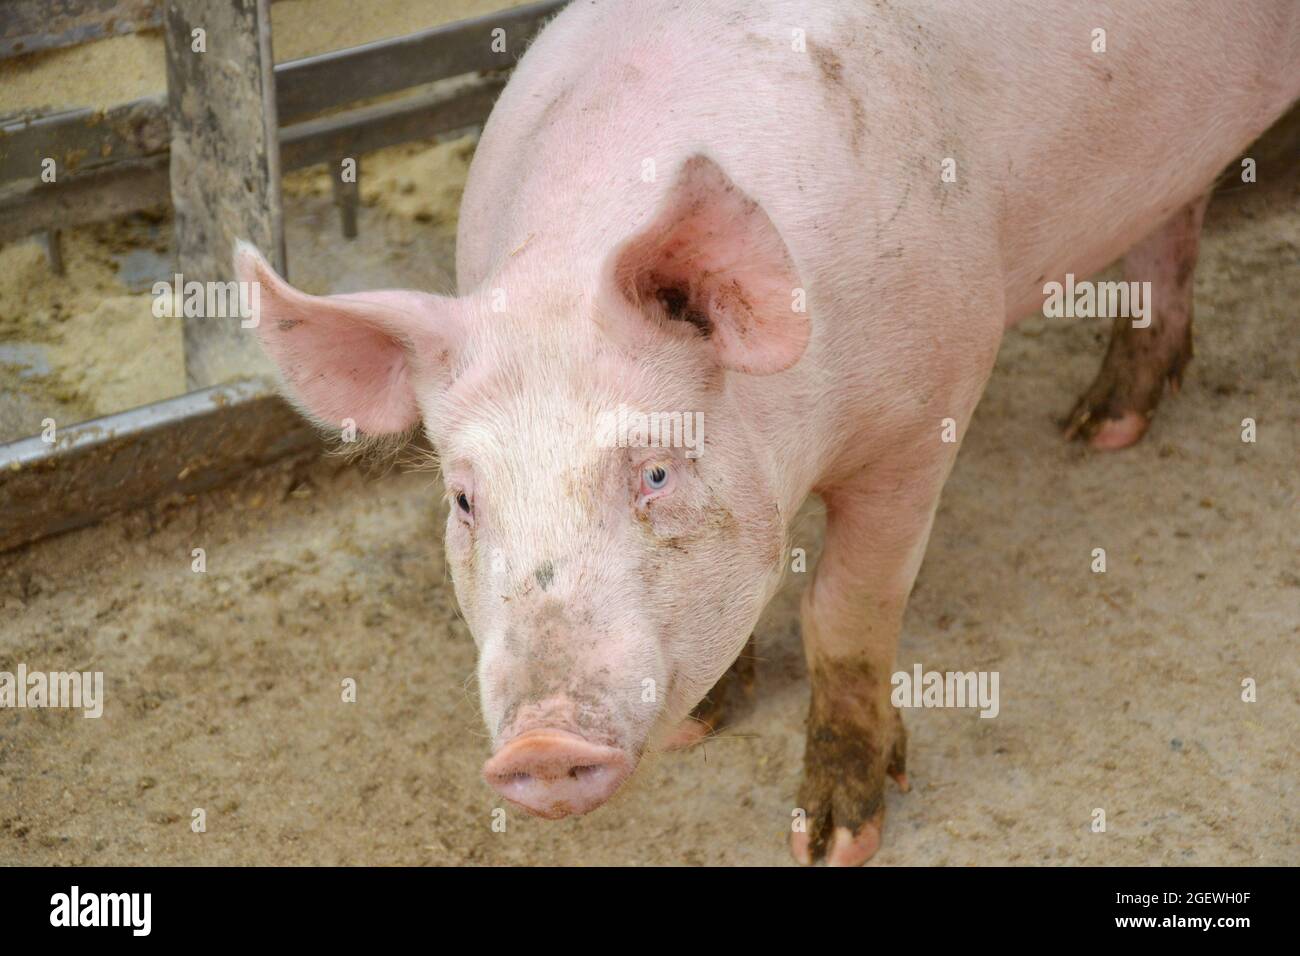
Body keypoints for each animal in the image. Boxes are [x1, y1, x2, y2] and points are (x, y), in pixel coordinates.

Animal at [236, 0, 1300, 864]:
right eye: (464, 499)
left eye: (658, 474)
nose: (542, 744)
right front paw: (705, 722)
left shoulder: (926, 414)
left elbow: (845, 611)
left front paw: (833, 840)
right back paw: (1100, 427)